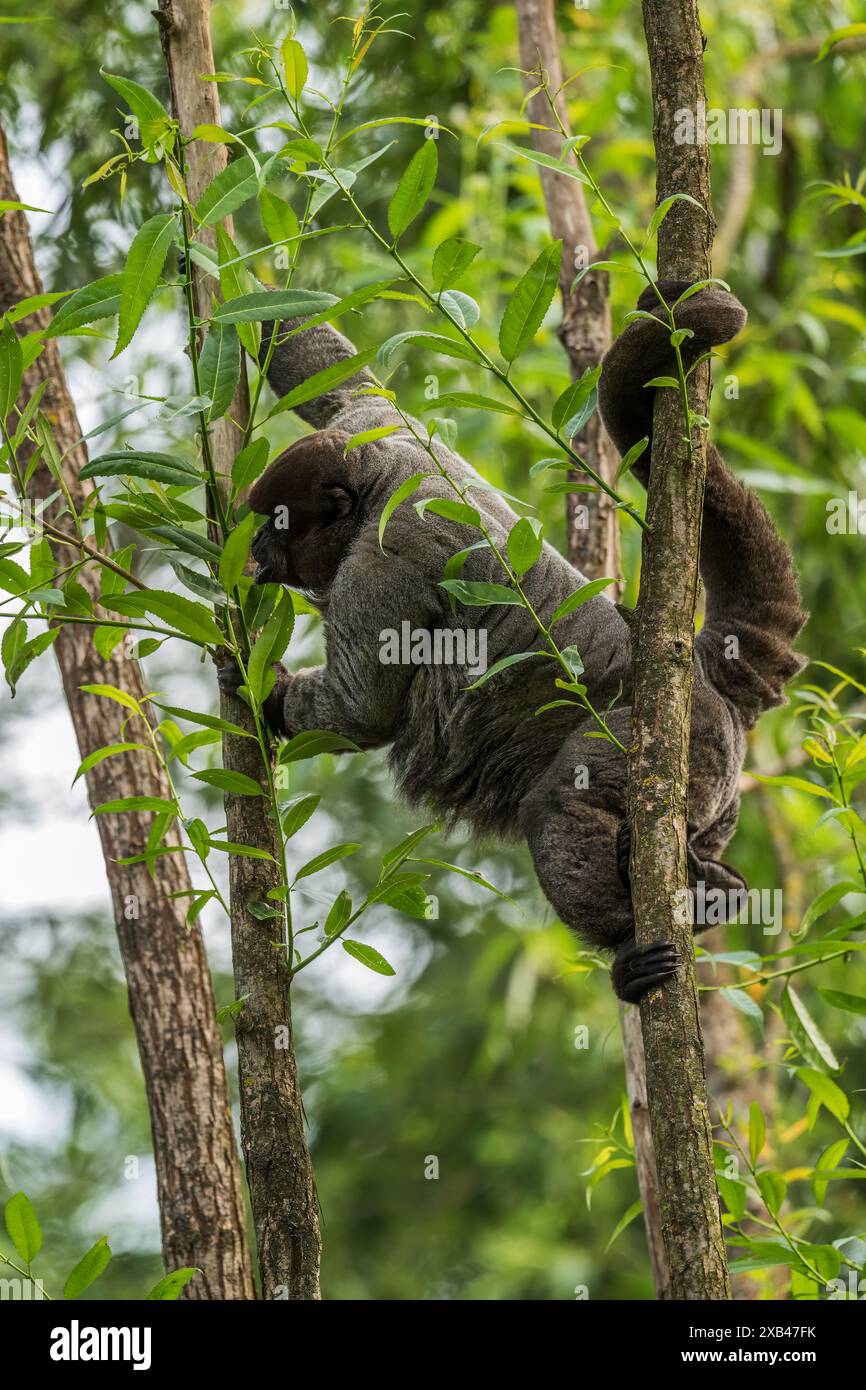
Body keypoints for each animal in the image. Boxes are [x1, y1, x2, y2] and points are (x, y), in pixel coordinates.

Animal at [220, 283, 806, 1002]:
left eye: (276, 522)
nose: (256, 546)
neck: (374, 491)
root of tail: (699, 671)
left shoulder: (382, 564)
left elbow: (364, 709)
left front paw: (263, 686)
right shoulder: (377, 427)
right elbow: (341, 380)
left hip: (680, 742)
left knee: (560, 801)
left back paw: (634, 950)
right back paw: (715, 889)